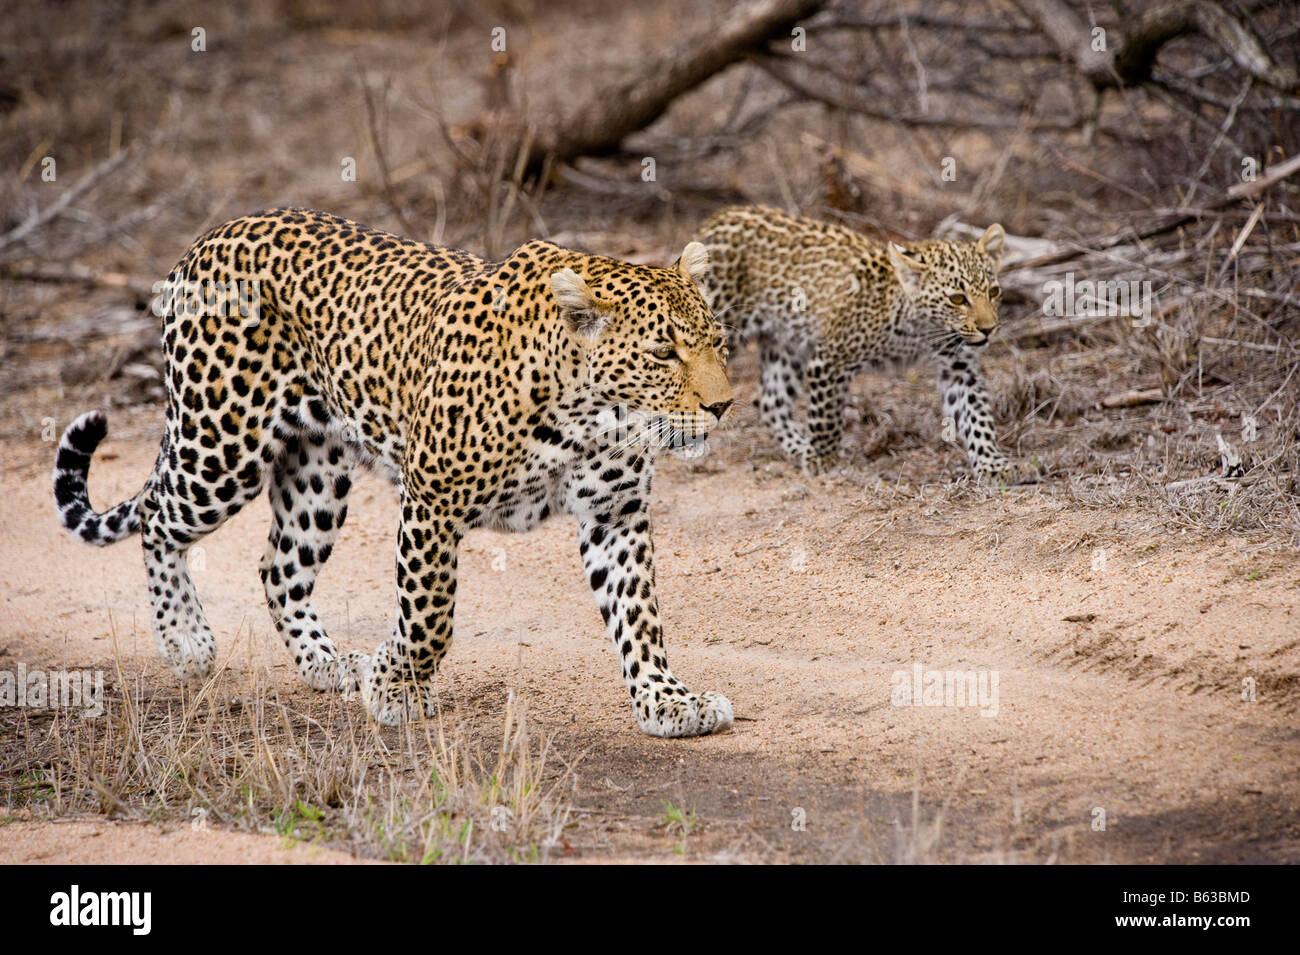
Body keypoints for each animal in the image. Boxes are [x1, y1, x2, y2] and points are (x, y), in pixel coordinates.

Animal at [53, 208, 736, 738]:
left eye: (718, 343)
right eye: (663, 353)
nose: (724, 405)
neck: (590, 414)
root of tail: (204, 242)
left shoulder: (614, 514)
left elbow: (640, 618)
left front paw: (667, 701)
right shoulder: (433, 501)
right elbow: (430, 613)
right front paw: (396, 688)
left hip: (317, 471)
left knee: (279, 566)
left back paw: (325, 663)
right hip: (221, 445)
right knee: (158, 520)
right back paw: (185, 642)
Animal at [695, 205, 1040, 483]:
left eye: (993, 292)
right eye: (957, 299)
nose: (989, 329)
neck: (922, 330)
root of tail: (717, 219)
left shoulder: (958, 367)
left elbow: (976, 415)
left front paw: (994, 465)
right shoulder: (830, 357)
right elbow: (826, 415)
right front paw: (822, 457)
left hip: (788, 343)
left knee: (771, 401)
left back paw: (797, 446)